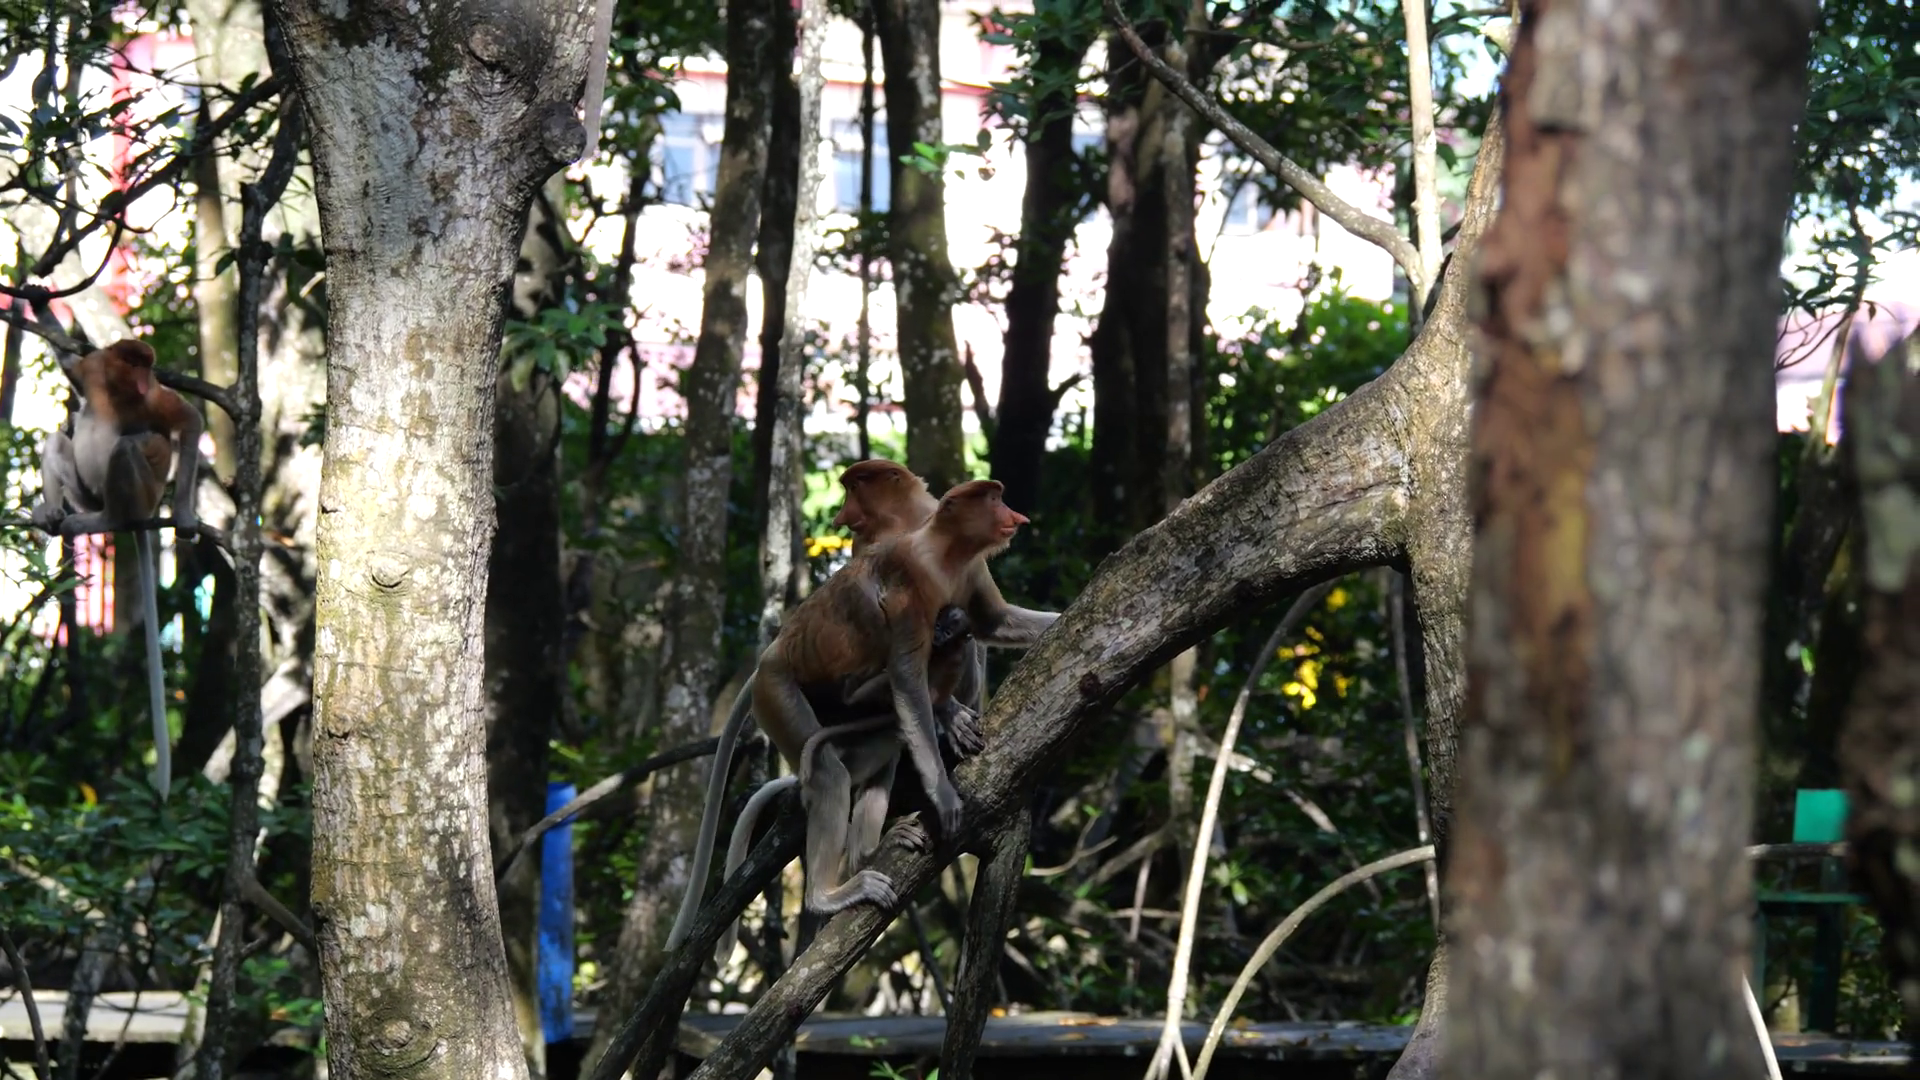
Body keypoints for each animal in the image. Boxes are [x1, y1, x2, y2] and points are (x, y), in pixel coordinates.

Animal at [30, 340, 203, 802]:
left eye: (149, 369)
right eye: (134, 363)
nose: (145, 378)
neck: (116, 392)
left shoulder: (154, 398)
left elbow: (187, 421)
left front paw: (185, 516)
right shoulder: (93, 371)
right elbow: (70, 366)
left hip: (139, 496)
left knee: (128, 449)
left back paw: (107, 518)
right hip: (84, 493)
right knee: (56, 440)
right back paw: (52, 514)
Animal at [667, 463, 1060, 957]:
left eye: (997, 497)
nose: (1016, 516)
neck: (942, 552)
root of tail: (768, 660)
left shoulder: (967, 569)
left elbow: (995, 621)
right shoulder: (910, 583)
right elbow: (908, 674)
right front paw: (944, 786)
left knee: (886, 738)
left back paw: (867, 852)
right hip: (778, 694)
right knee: (829, 770)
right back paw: (827, 894)